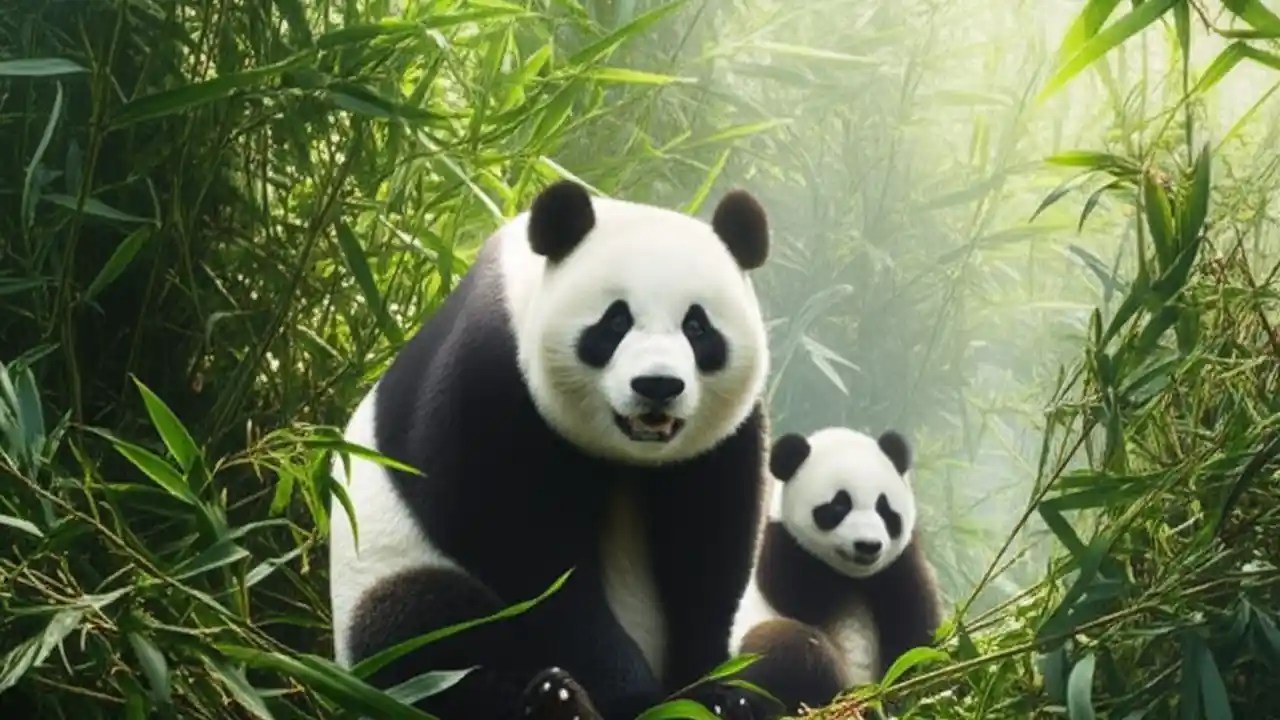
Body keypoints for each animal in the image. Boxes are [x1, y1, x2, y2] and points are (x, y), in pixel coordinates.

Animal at [327, 180, 776, 720]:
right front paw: (633, 696)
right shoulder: (491, 375)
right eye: (615, 321)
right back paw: (552, 699)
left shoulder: (721, 443)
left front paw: (717, 695)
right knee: (425, 632)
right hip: (383, 572)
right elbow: (525, 548)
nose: (658, 385)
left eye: (697, 327)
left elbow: (708, 552)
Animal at [727, 427, 943, 717]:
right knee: (784, 647)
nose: (868, 545)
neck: (852, 575)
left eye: (884, 508)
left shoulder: (901, 563)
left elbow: (914, 625)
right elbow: (801, 600)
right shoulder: (784, 548)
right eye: (839, 506)